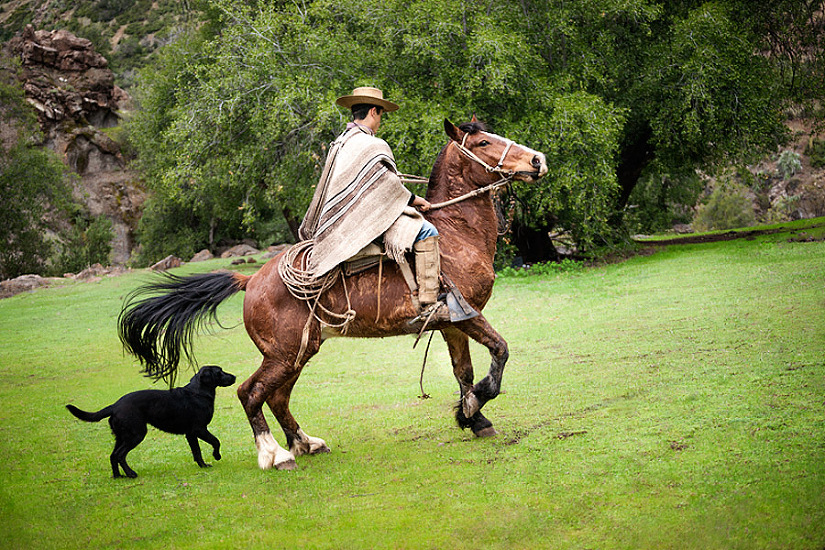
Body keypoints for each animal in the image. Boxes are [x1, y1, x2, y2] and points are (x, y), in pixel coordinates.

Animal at [119, 119, 548, 470]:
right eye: (484, 142)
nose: (537, 160)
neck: (458, 234)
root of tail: (251, 280)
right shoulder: (469, 314)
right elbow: (500, 351)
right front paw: (477, 404)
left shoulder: (452, 323)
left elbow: (464, 372)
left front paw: (472, 417)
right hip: (283, 355)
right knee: (250, 392)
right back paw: (276, 455)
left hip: (298, 353)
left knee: (277, 398)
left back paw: (305, 443)